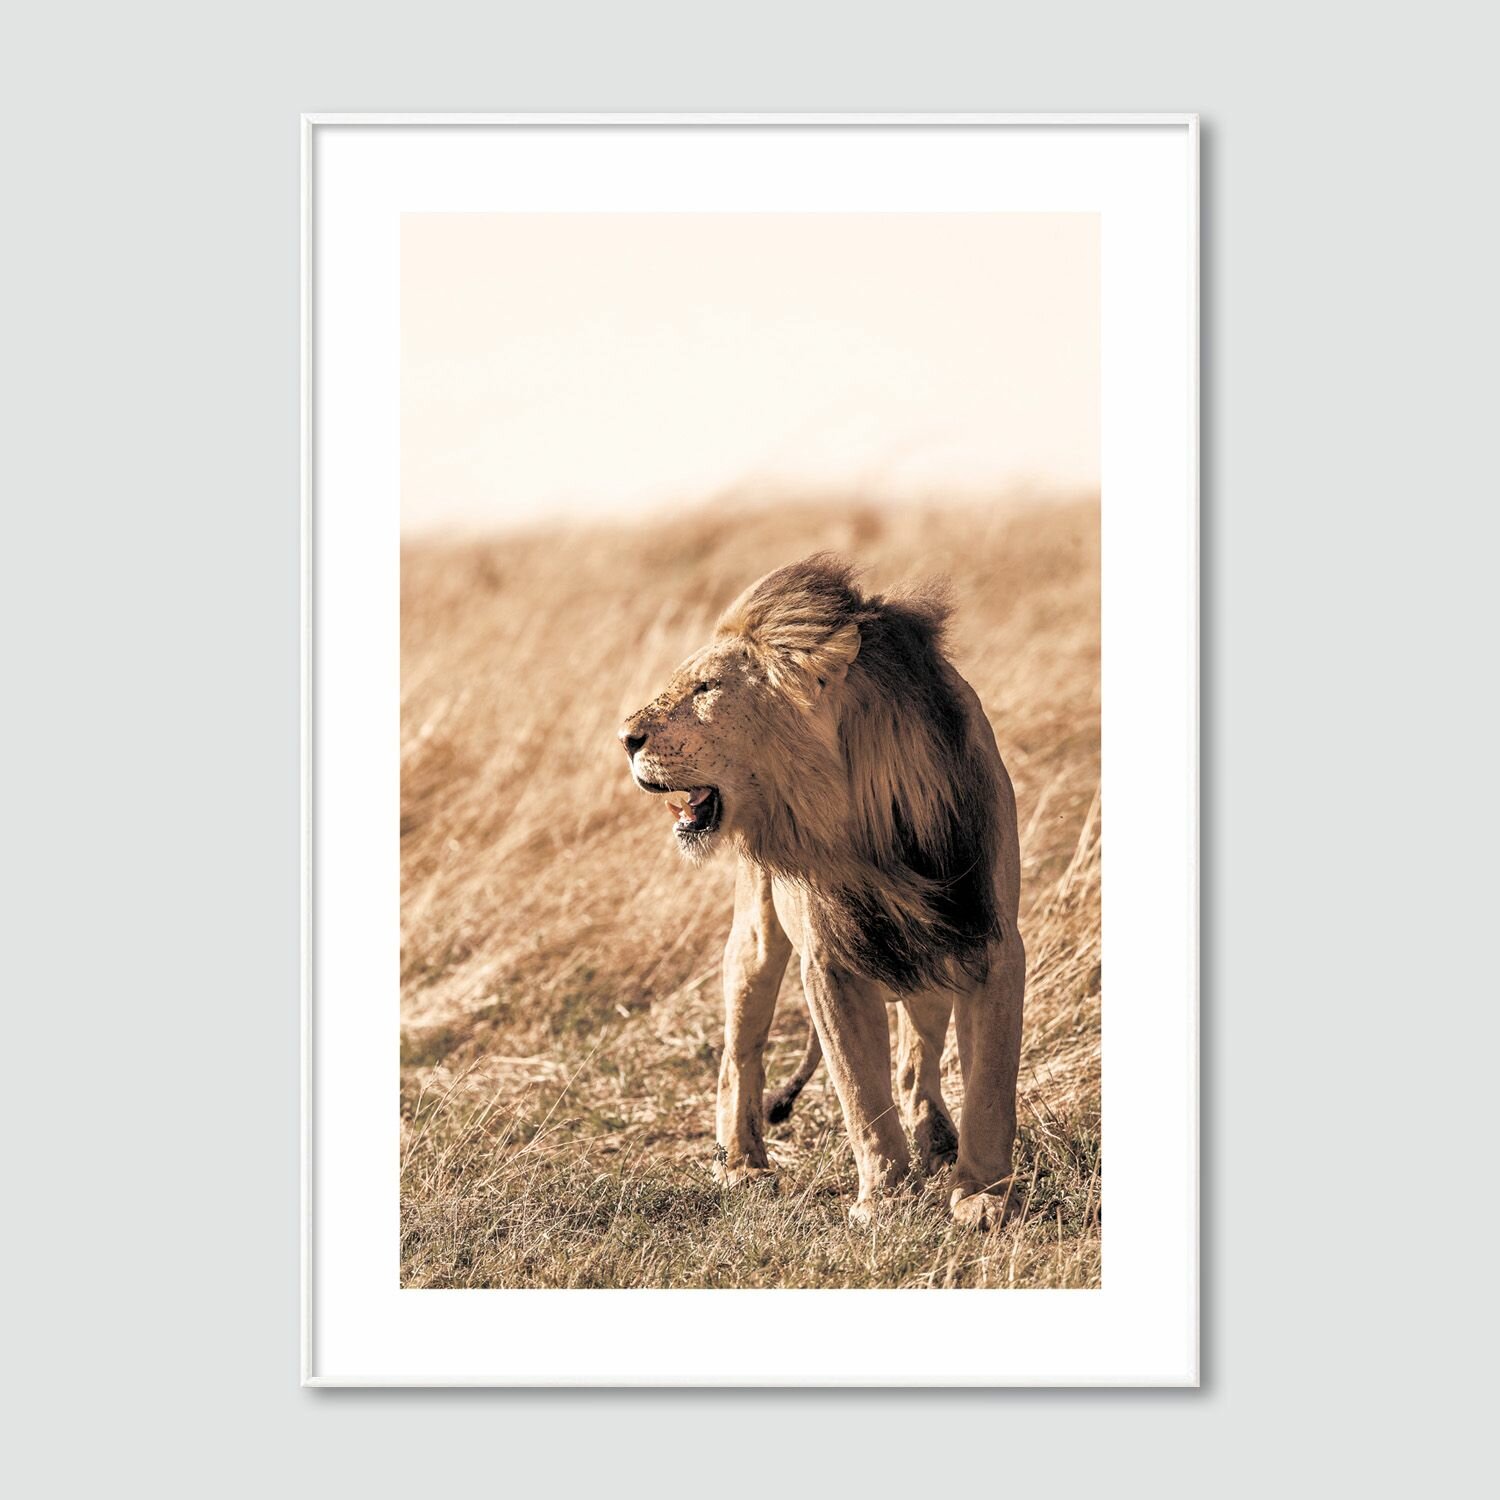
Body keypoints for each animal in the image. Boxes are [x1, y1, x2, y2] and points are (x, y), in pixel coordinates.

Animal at [617, 555, 1025, 1228]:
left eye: (706, 689)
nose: (624, 739)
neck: (867, 823)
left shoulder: (987, 938)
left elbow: (990, 1082)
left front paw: (982, 1197)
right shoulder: (829, 962)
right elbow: (860, 1091)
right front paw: (884, 1201)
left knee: (915, 1060)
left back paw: (938, 1141)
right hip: (755, 939)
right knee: (739, 1056)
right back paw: (743, 1166)